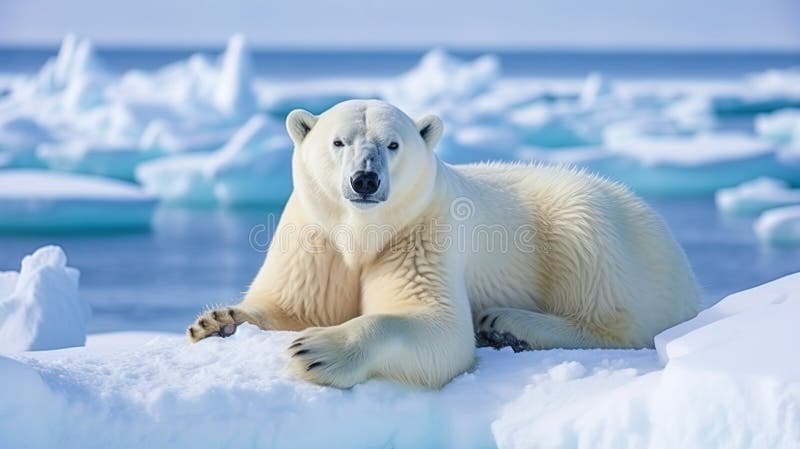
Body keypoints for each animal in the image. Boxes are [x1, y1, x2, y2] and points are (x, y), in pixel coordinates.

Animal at [187, 99, 700, 389]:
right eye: (338, 142)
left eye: (392, 144)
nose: (365, 179)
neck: (362, 232)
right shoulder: (315, 240)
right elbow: (289, 304)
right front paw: (217, 321)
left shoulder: (420, 234)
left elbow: (436, 325)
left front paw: (317, 350)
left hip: (586, 220)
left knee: (611, 304)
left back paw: (507, 324)